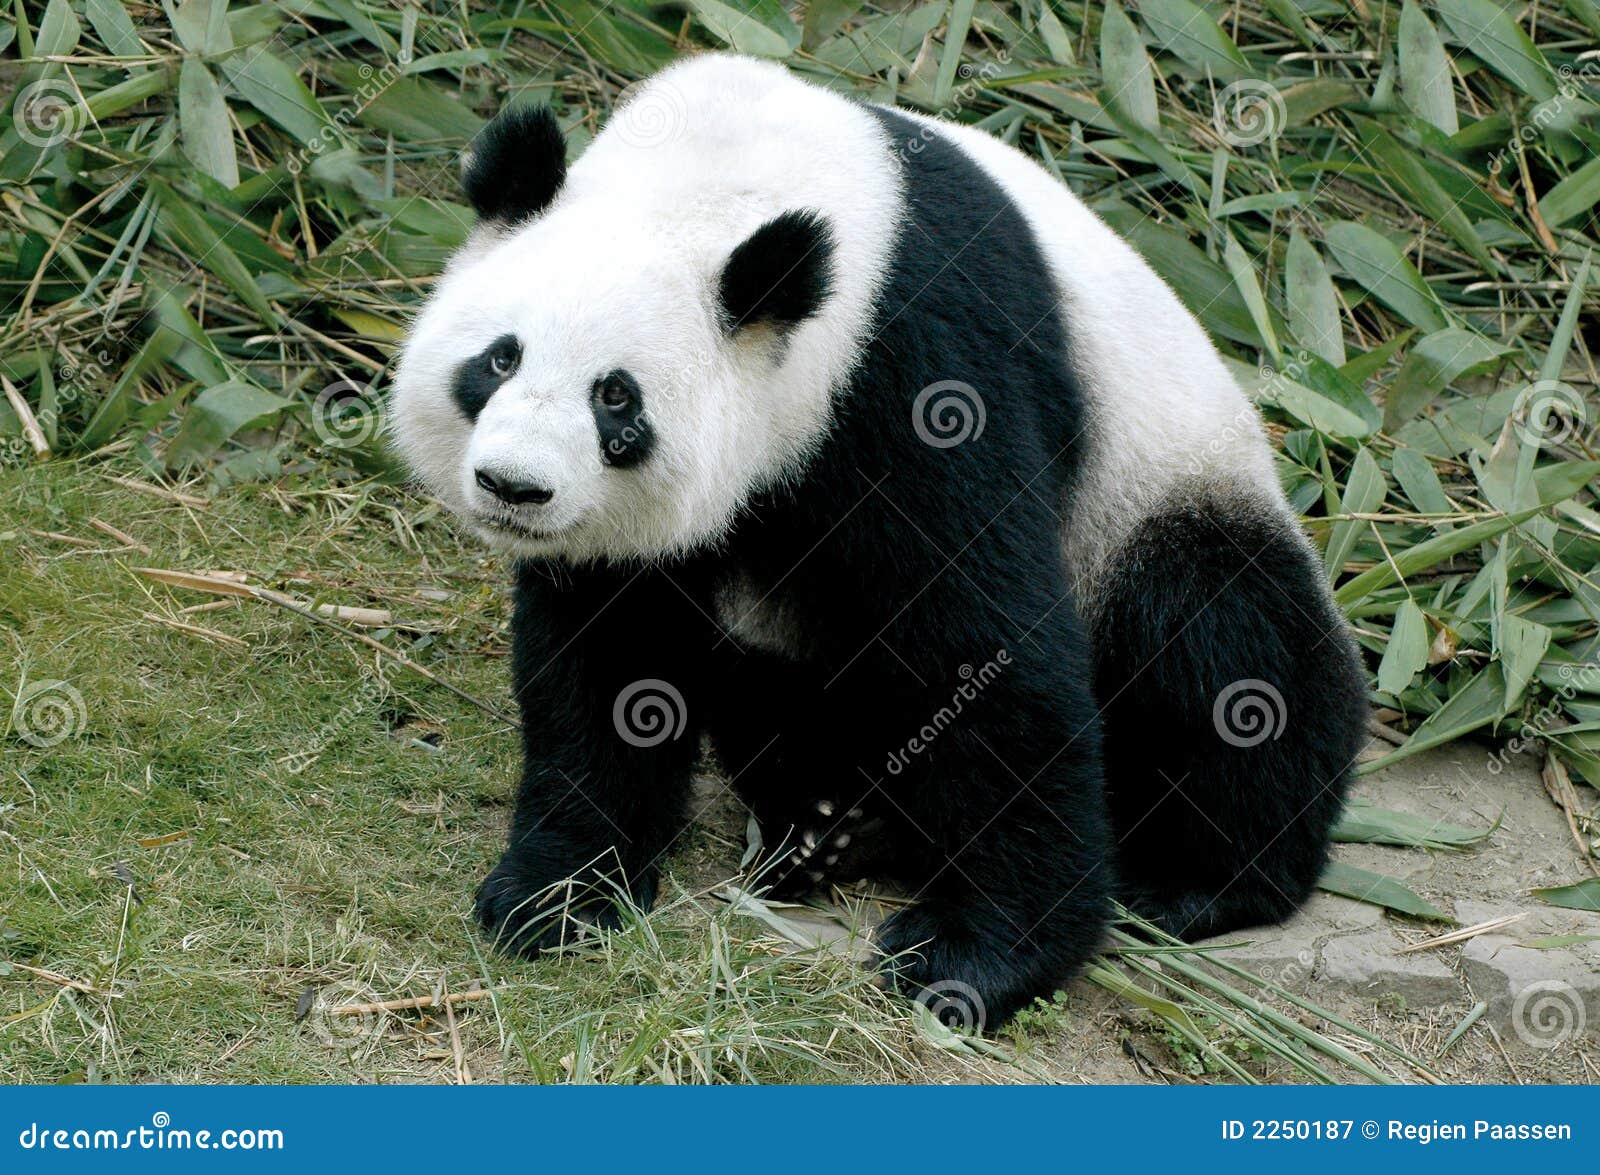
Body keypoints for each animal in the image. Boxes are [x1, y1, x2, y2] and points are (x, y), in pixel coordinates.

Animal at [391, 53, 1369, 1027]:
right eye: (501, 358)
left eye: (616, 398)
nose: (514, 486)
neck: (718, 184)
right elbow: (613, 651)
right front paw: (557, 891)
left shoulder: (918, 362)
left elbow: (984, 641)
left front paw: (974, 956)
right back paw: (834, 828)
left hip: (1168, 479)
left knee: (1220, 638)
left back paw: (1201, 880)